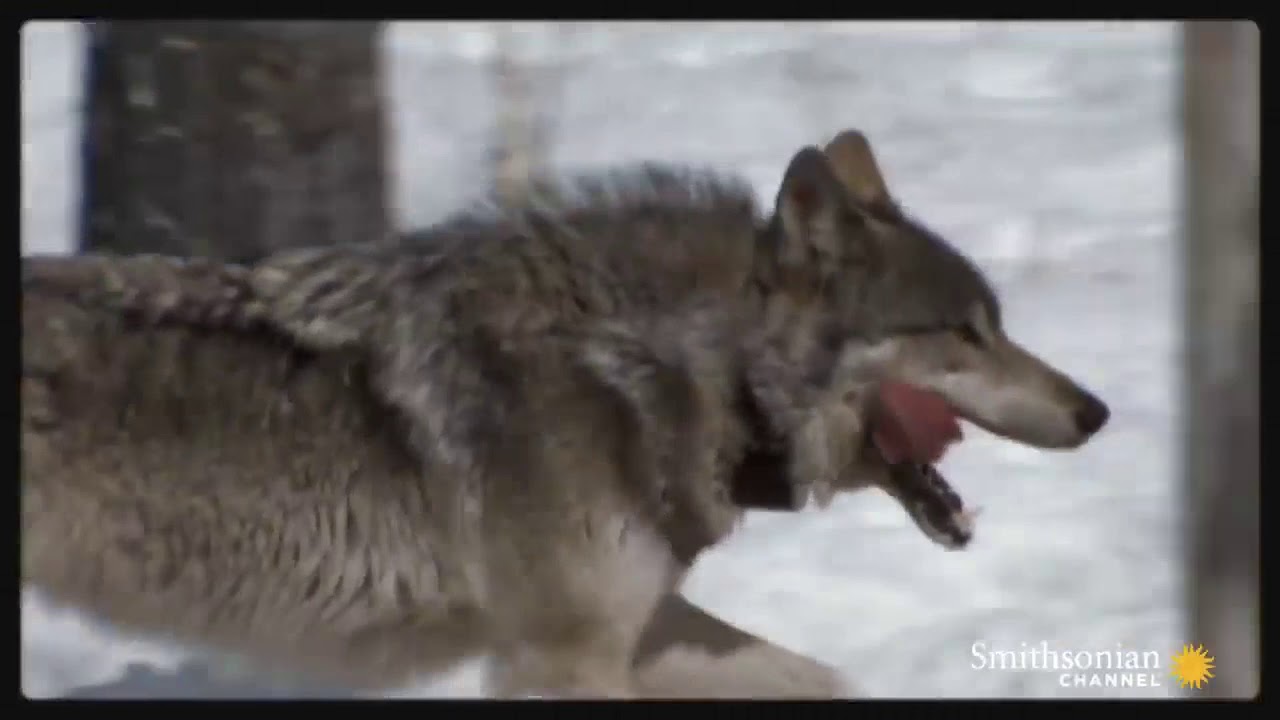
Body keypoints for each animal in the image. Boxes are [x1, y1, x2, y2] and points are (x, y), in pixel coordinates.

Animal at [21, 129, 1109, 698]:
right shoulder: (560, 657)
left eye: (997, 324)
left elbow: (827, 682)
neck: (672, 369)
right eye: (963, 334)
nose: (1096, 411)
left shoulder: (635, 622)